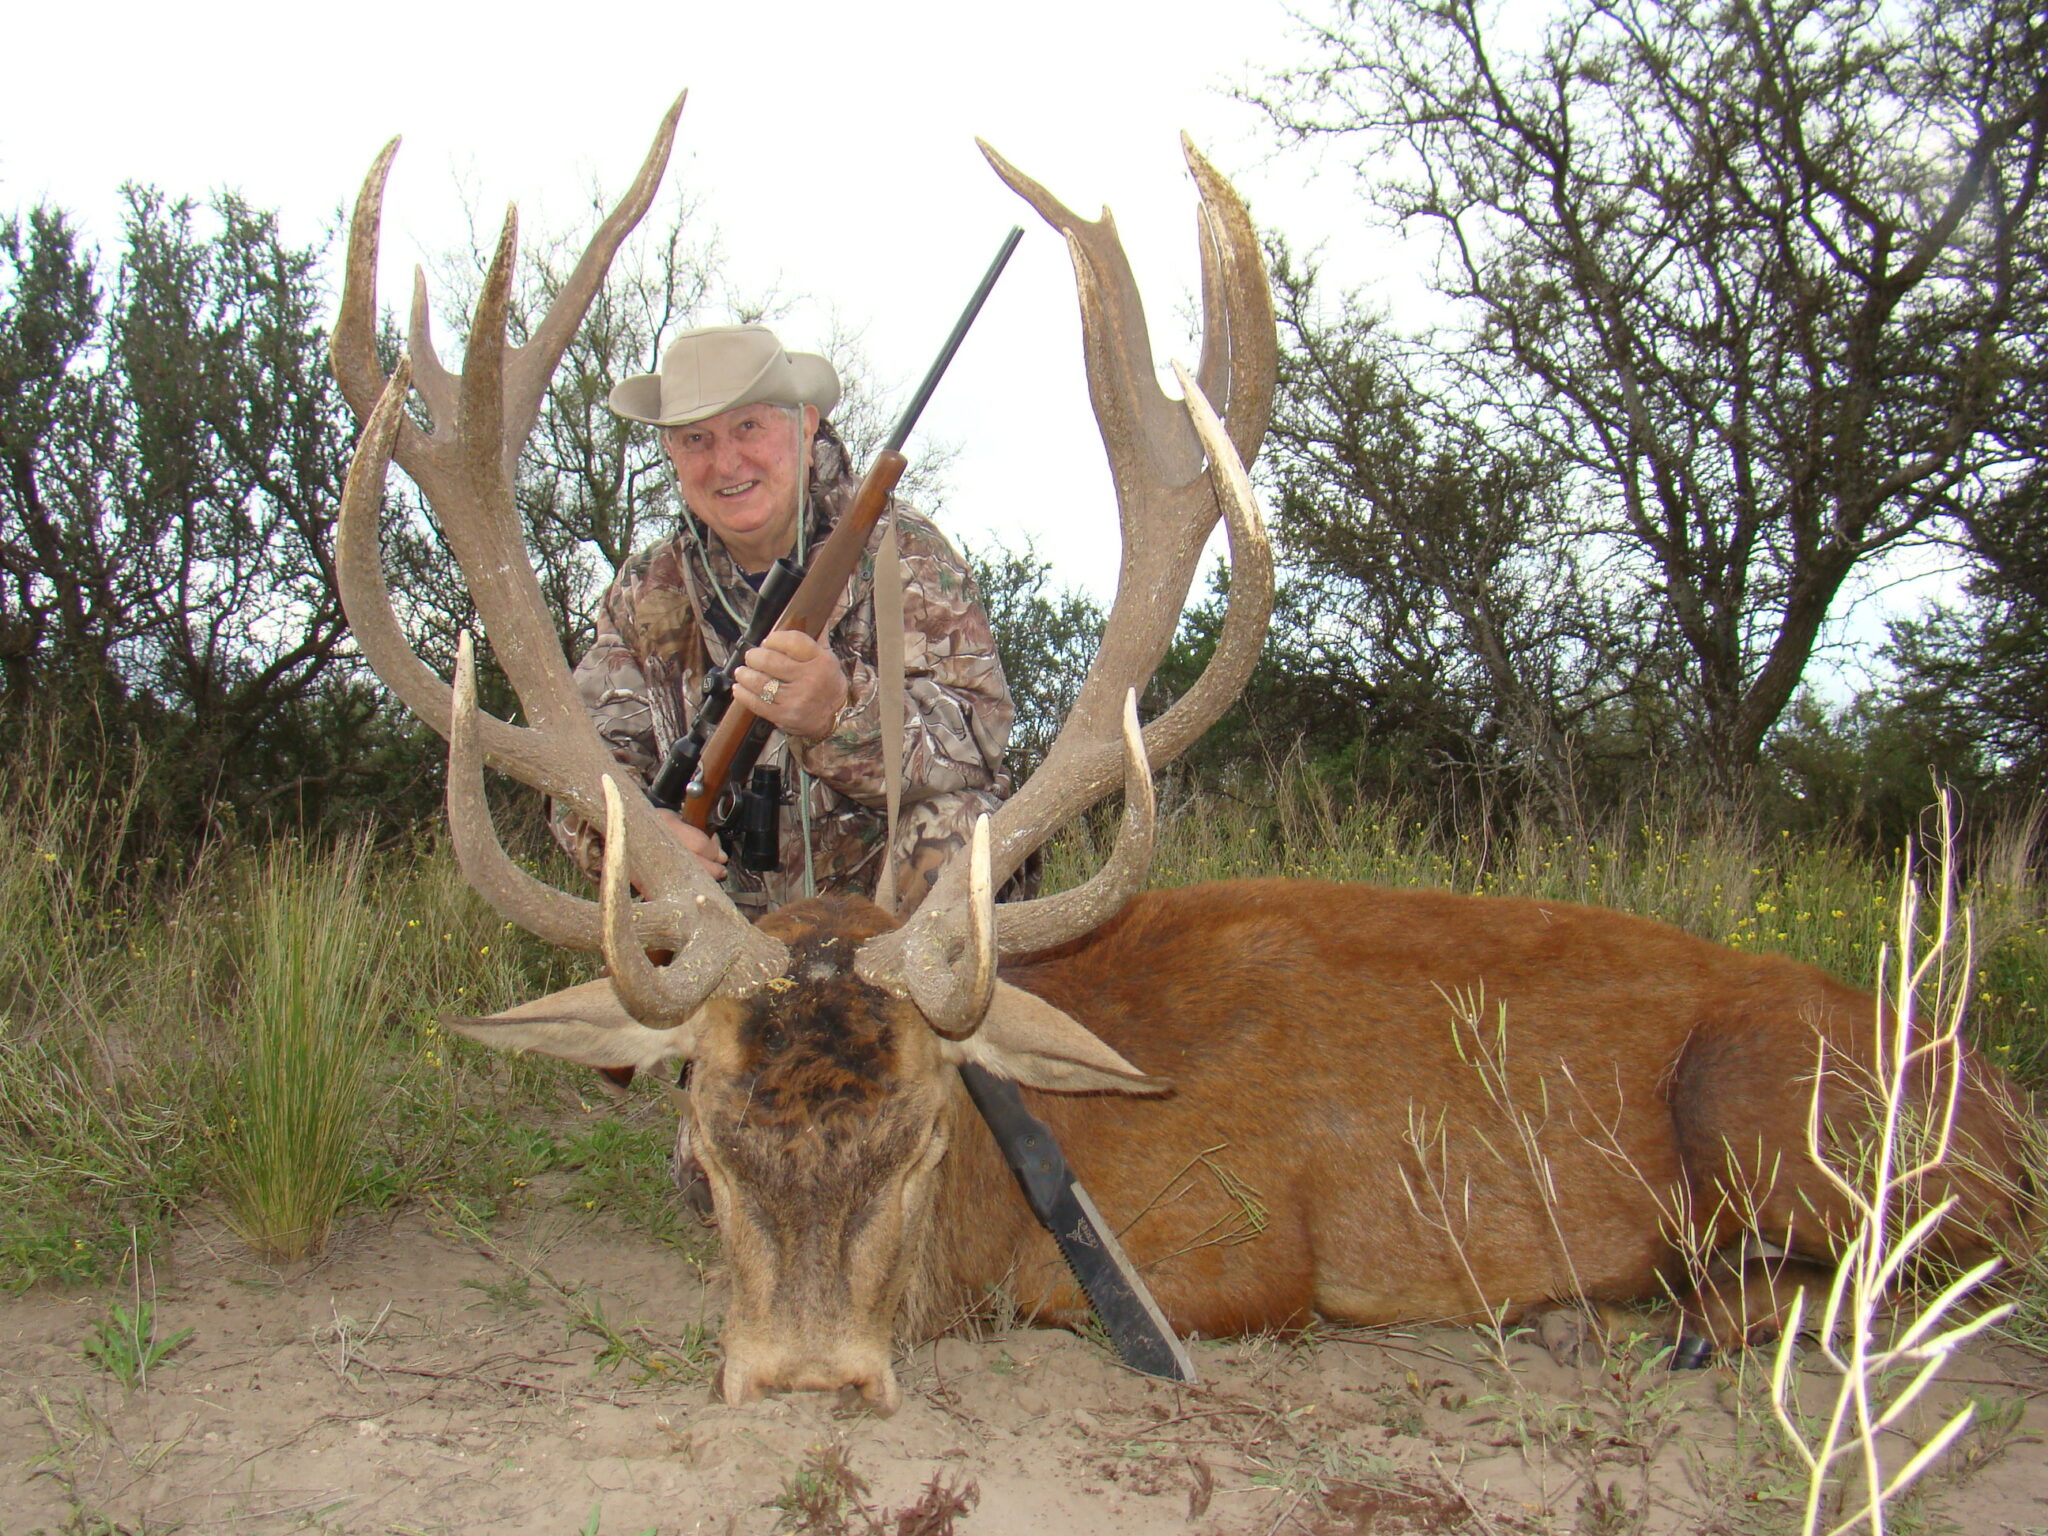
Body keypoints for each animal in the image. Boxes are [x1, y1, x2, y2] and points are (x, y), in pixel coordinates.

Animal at [331, 95, 2033, 1415]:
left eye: (920, 1132)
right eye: (706, 1138)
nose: (809, 1377)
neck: (1012, 1193)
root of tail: (2008, 1103)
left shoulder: (1238, 1251)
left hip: (1780, 1104)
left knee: (1925, 1280)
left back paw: (1633, 1319)